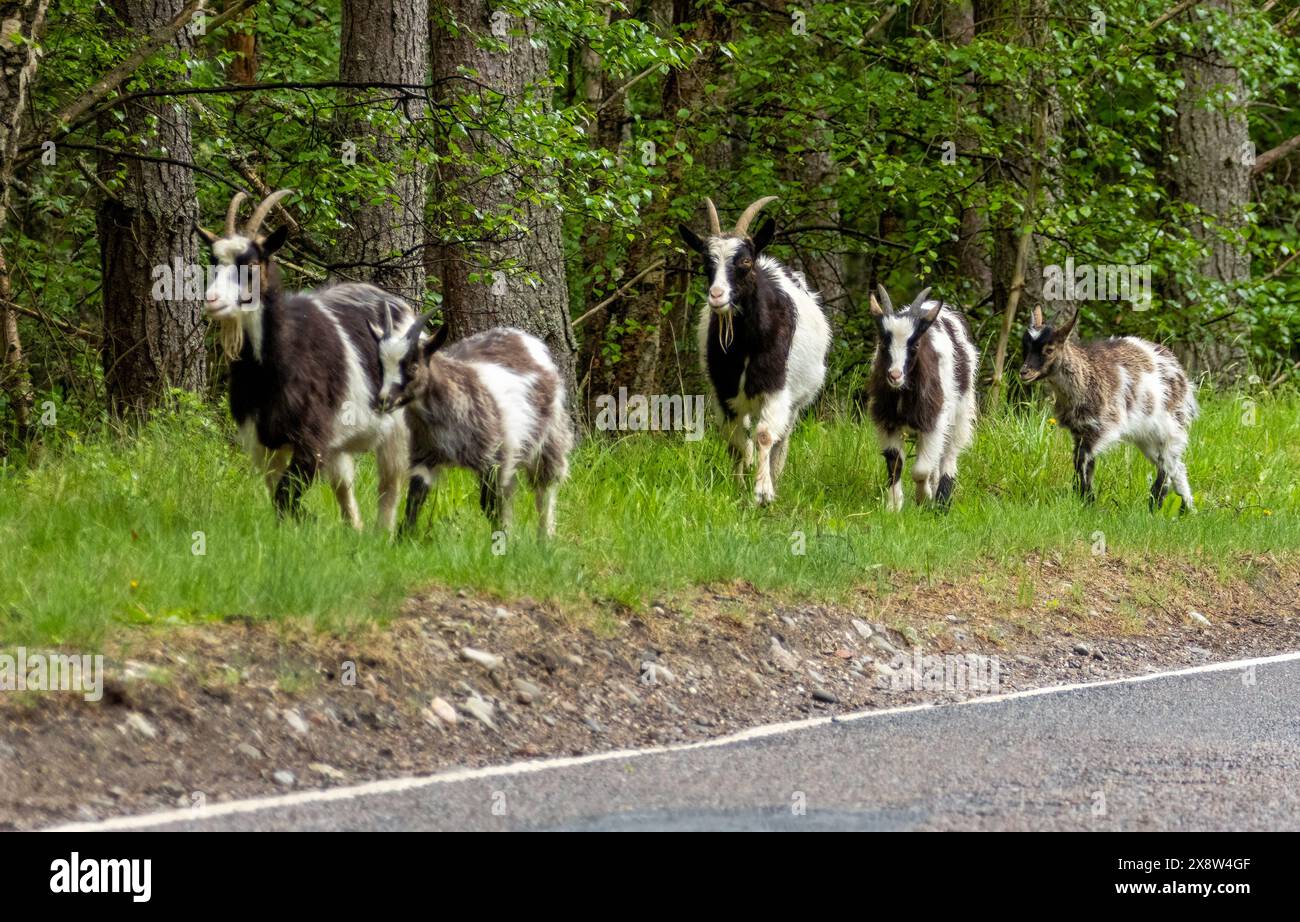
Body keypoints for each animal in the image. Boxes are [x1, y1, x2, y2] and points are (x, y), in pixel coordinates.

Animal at [196, 190, 413, 530]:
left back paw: (383, 533)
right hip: (340, 445)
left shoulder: (311, 439)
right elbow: (278, 496)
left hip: (397, 427)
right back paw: (355, 528)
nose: (213, 301)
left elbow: (287, 493)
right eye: (214, 261)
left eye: (252, 262)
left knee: (389, 487)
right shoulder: (262, 443)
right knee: (344, 486)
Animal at [370, 311, 573, 538]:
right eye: (381, 365)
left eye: (413, 366)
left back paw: (544, 537)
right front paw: (403, 538)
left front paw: (499, 540)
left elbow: (489, 506)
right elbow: (415, 499)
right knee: (509, 492)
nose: (384, 401)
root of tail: (522, 337)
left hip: (549, 437)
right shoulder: (424, 456)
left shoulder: (493, 458)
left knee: (544, 488)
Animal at [678, 196, 830, 505]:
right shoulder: (723, 392)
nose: (717, 295)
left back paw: (775, 475)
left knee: (781, 437)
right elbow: (736, 440)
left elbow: (764, 436)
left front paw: (763, 491)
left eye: (745, 262)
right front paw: (736, 486)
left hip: (795, 400)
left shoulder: (775, 389)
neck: (746, 345)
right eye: (706, 263)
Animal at [867, 285, 979, 510]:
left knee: (949, 454)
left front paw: (923, 497)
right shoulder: (888, 422)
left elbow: (920, 470)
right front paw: (893, 506)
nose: (895, 375)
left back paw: (942, 502)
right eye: (883, 344)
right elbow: (895, 463)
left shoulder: (934, 420)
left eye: (915, 345)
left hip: (961, 412)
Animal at [1020, 305, 1197, 511]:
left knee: (1168, 465)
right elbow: (1083, 463)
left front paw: (1087, 500)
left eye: (1049, 349)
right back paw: (1185, 509)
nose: (1024, 372)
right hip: (1147, 437)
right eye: (1026, 347)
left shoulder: (1102, 427)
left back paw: (1159, 505)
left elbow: (1082, 460)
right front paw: (1084, 499)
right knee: (1176, 466)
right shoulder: (1080, 430)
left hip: (1171, 426)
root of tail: (1177, 368)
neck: (1086, 377)